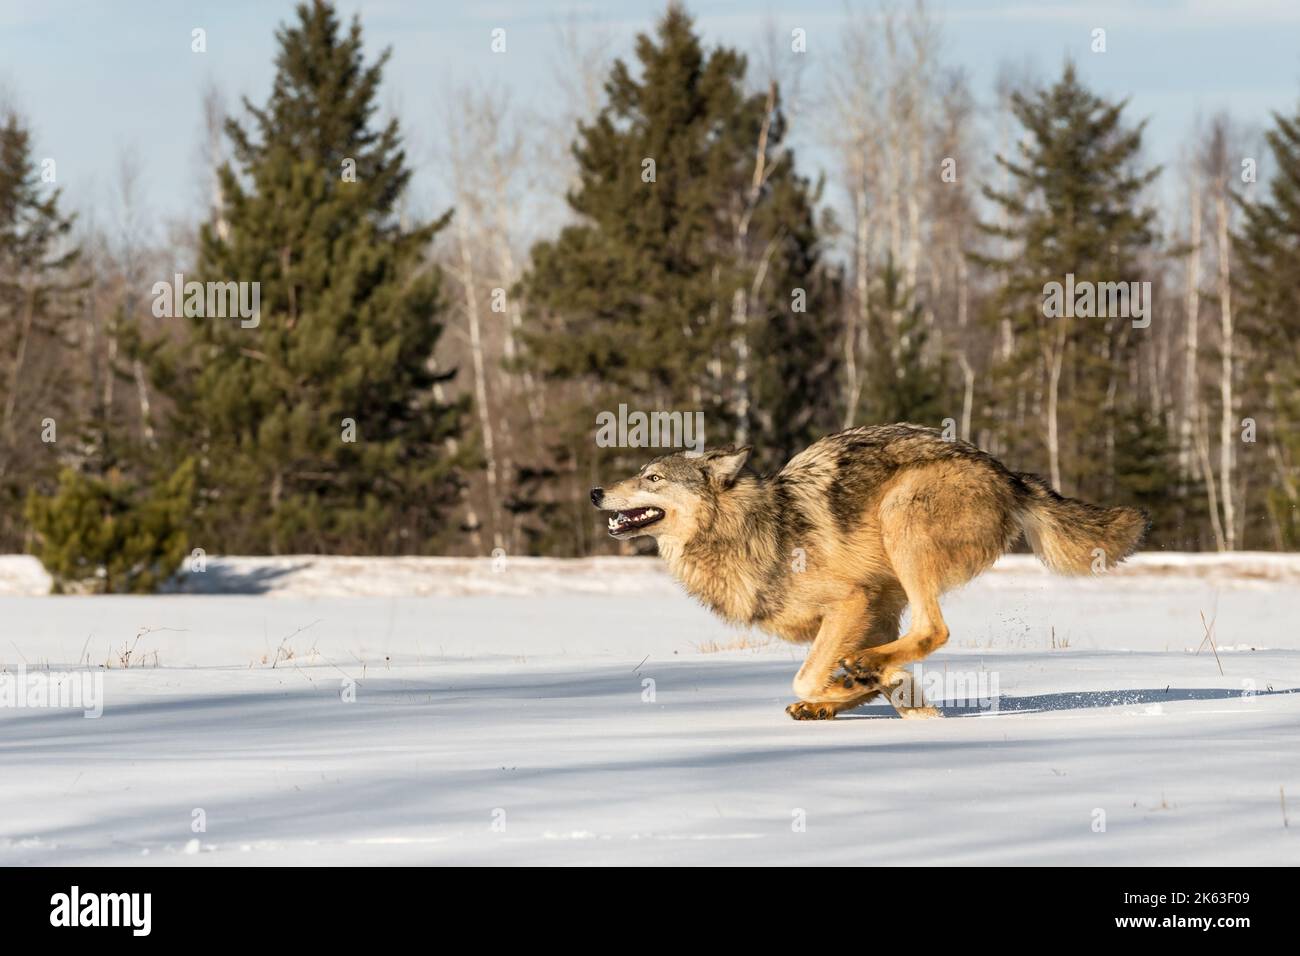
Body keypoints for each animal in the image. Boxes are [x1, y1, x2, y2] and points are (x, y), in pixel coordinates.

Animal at [591, 424, 1148, 720]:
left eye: (652, 477)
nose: (596, 492)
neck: (746, 529)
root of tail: (1008, 472)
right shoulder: (873, 616)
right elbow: (897, 686)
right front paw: (873, 699)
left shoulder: (851, 602)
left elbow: (805, 677)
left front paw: (842, 690)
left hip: (902, 516)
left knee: (934, 629)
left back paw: (855, 672)